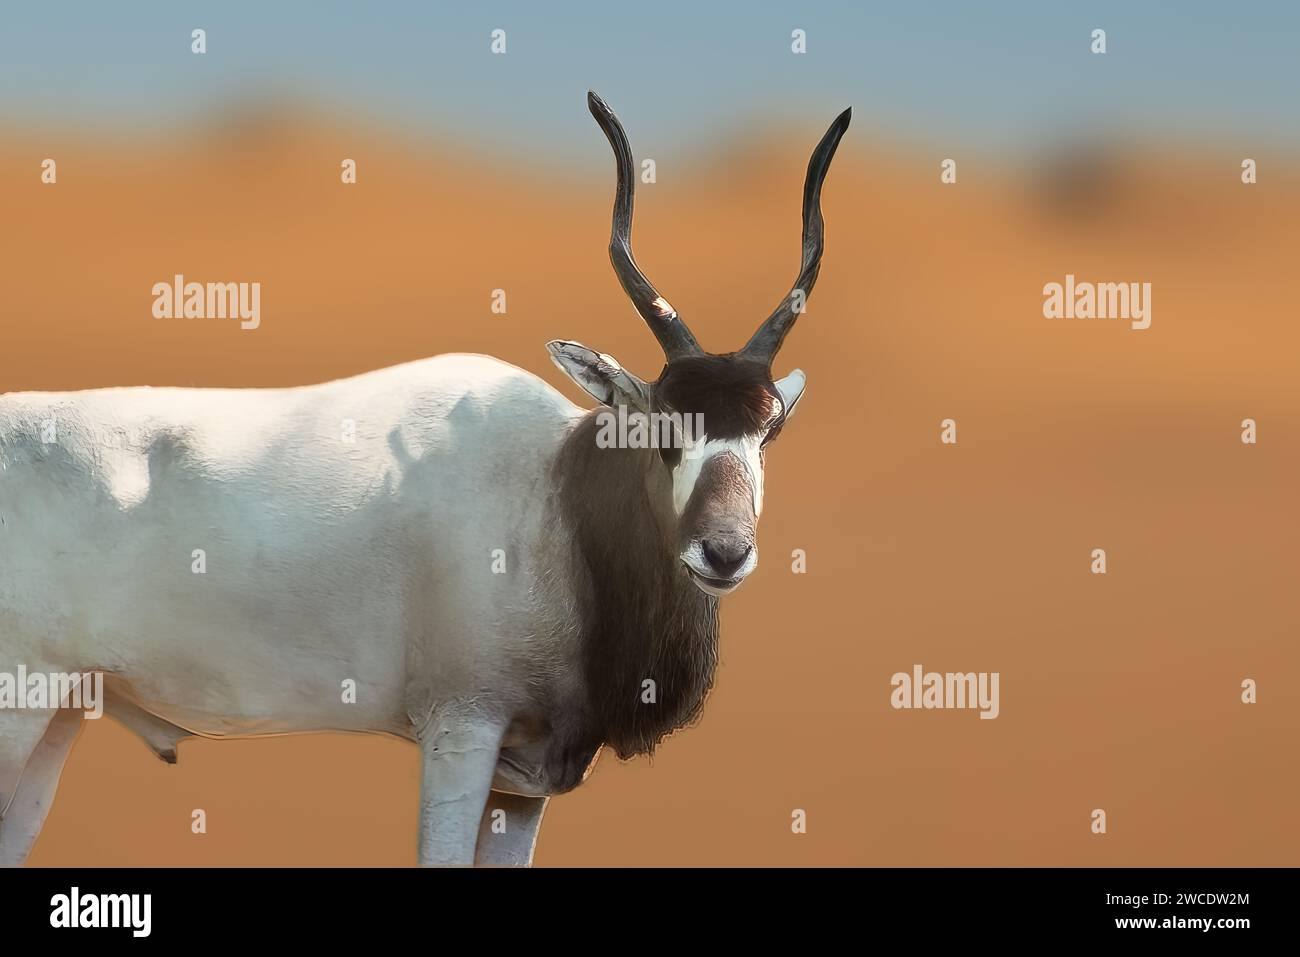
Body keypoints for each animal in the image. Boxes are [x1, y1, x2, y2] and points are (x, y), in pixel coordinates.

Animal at [0, 92, 849, 866]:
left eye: (770, 425)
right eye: (662, 426)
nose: (724, 552)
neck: (553, 492)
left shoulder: (525, 780)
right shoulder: (461, 730)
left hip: (61, 712)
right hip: (20, 707)